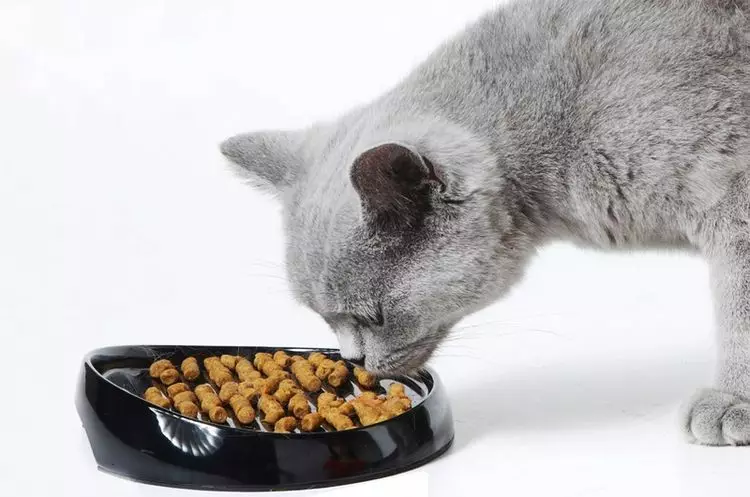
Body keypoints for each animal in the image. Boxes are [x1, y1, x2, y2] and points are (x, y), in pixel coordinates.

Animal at [220, 0, 748, 444]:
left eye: (374, 317)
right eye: (323, 319)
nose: (353, 360)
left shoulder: (734, 197)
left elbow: (737, 307)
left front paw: (731, 402)